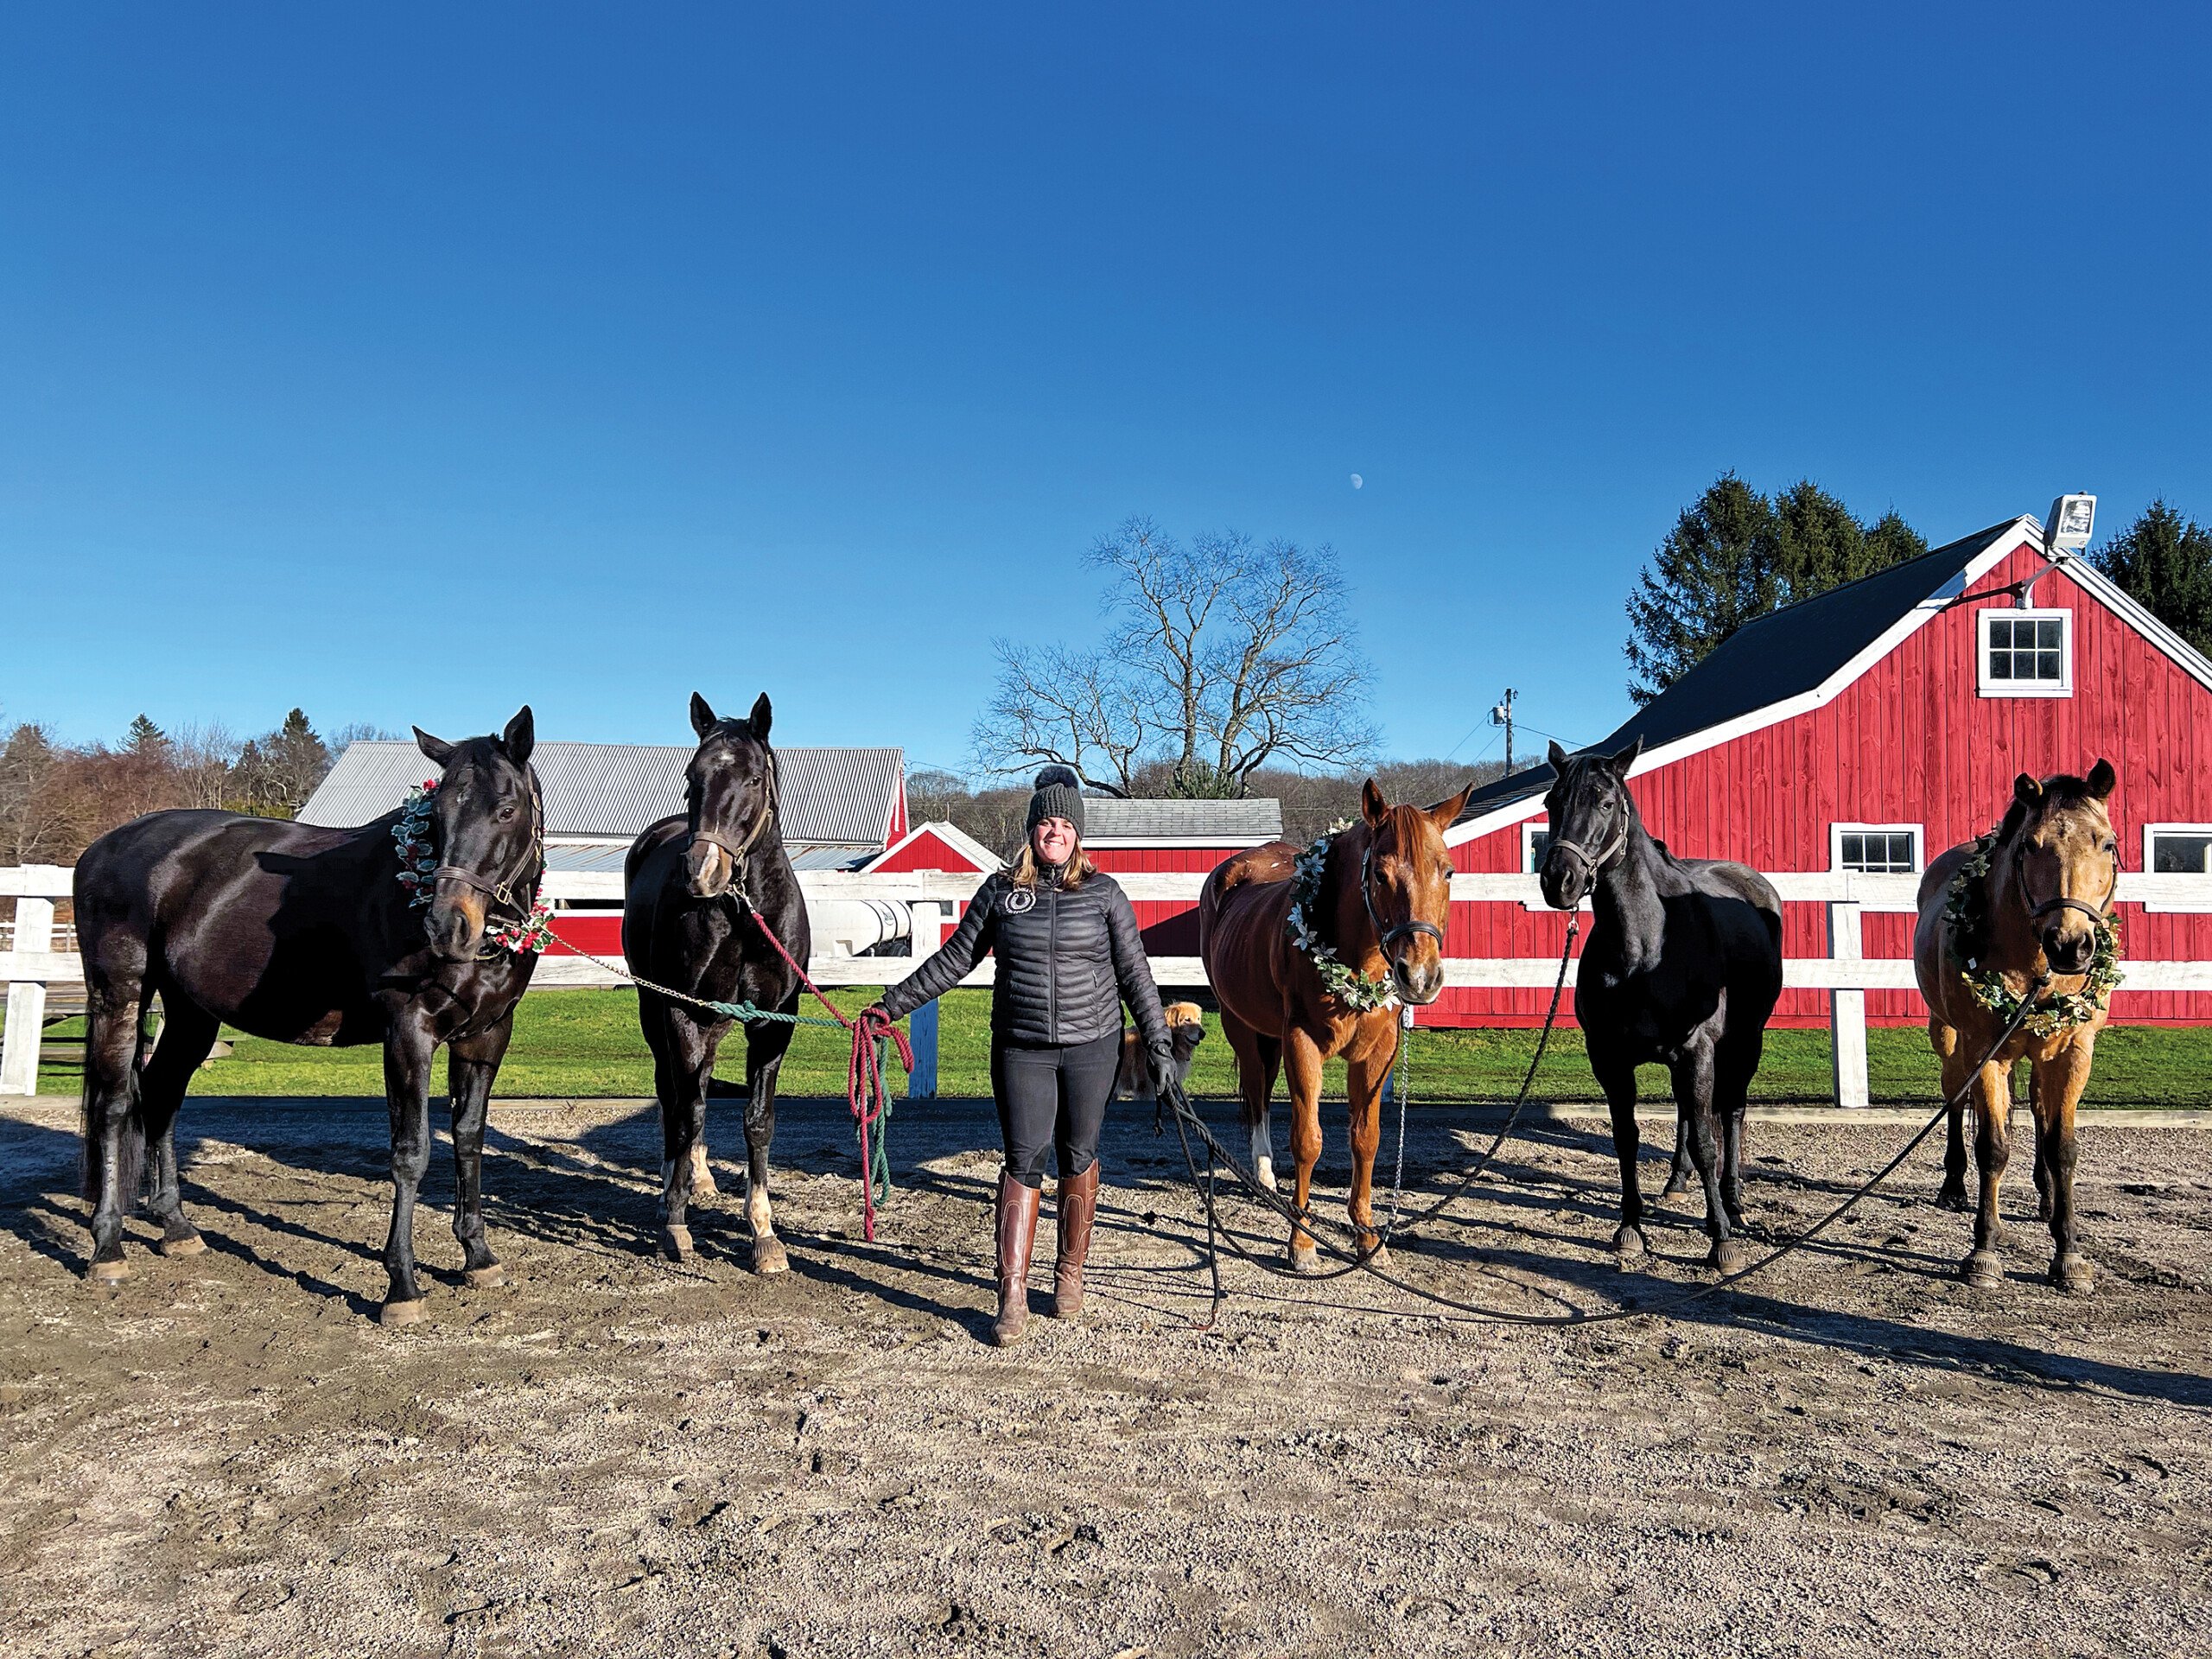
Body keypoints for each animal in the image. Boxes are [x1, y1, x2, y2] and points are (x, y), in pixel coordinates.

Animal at [72, 709, 545, 1324]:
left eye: (506, 810)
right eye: (436, 816)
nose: (447, 927)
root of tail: (102, 848)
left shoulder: (485, 1037)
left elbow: (467, 1139)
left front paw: (478, 1257)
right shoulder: (408, 1035)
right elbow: (411, 1153)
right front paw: (402, 1286)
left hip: (191, 1013)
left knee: (161, 1094)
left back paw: (176, 1227)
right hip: (120, 994)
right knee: (113, 1106)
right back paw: (107, 1248)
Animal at [621, 691, 807, 1272]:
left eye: (753, 778)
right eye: (692, 774)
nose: (701, 871)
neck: (744, 914)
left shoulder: (773, 1023)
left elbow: (757, 1120)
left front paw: (764, 1233)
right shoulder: (681, 1011)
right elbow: (686, 1112)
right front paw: (676, 1224)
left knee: (697, 1083)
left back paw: (700, 1176)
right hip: (656, 1009)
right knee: (675, 1091)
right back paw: (672, 1184)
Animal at [1199, 778, 1474, 1270]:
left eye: (1448, 873)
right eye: (1380, 874)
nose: (1420, 976)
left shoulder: (1378, 1053)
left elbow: (1366, 1139)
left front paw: (1367, 1237)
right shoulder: (1301, 1043)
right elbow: (1307, 1140)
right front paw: (1302, 1243)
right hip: (1242, 1026)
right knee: (1257, 1095)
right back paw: (1264, 1180)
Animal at [1539, 738, 1783, 1273]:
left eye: (1607, 803)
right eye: (1550, 803)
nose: (1559, 881)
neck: (1644, 947)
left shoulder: (1697, 1050)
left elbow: (1709, 1141)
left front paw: (1721, 1240)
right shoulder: (1610, 1058)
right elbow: (1627, 1137)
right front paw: (1630, 1227)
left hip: (1744, 1041)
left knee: (1730, 1114)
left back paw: (1733, 1203)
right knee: (1687, 1114)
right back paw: (1676, 1182)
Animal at [1914, 762, 2119, 1294]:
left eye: (2107, 844)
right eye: (2030, 844)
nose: (2071, 944)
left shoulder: (2074, 1052)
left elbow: (2062, 1147)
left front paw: (2069, 1253)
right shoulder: (1988, 1051)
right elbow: (1993, 1147)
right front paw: (1983, 1251)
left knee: (2039, 1110)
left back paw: (2046, 1200)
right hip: (1950, 1038)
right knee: (1955, 1096)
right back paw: (1953, 1186)